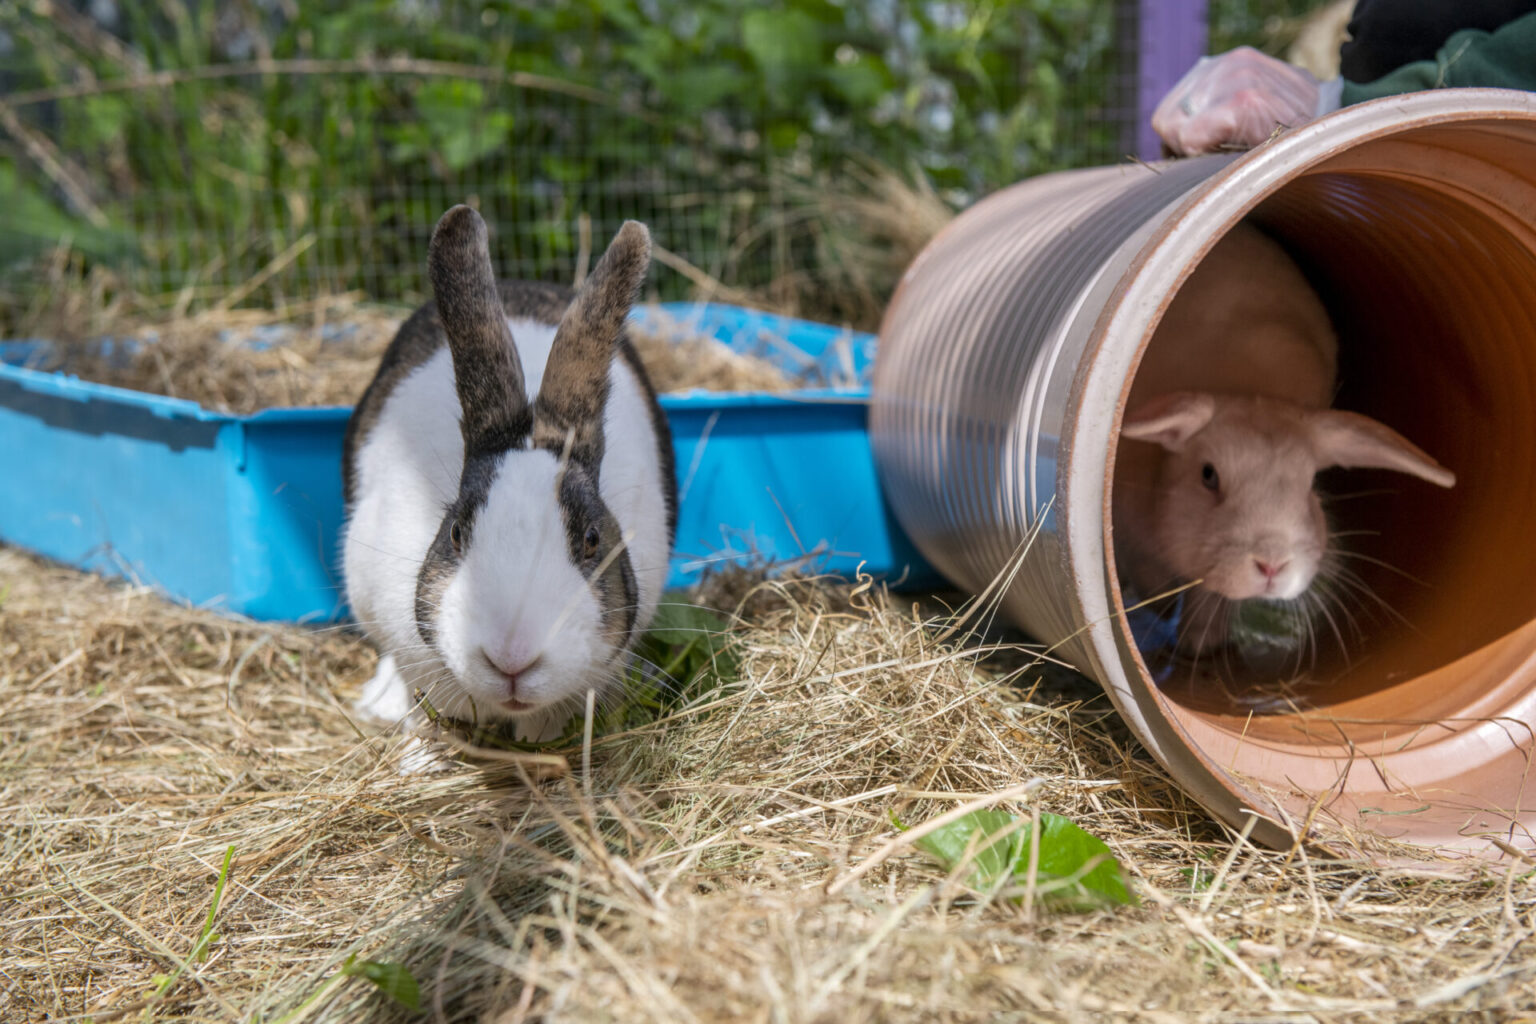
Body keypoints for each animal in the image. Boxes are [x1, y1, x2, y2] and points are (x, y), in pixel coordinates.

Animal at [1112, 221, 1454, 657]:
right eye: (1208, 476)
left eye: (1311, 484)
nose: (1272, 564)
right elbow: (1151, 577)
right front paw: (1165, 613)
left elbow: (1210, 596)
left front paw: (1201, 643)